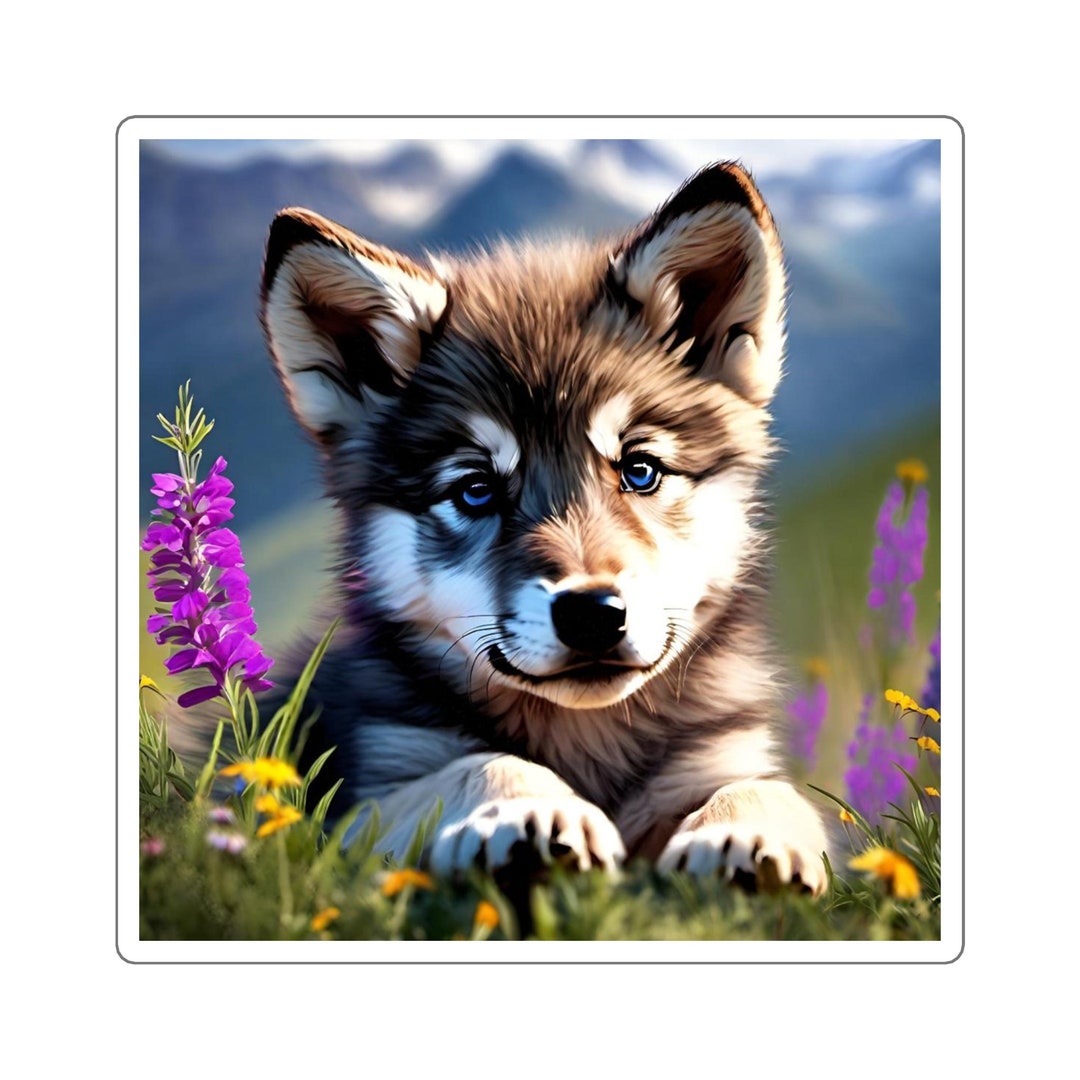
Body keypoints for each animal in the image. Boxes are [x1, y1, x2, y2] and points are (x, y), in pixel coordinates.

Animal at [259, 161, 830, 894]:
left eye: (640, 471)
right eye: (475, 490)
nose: (592, 614)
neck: (585, 735)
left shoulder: (718, 756)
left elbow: (770, 789)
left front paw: (744, 832)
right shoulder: (356, 795)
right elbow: (477, 764)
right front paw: (530, 809)